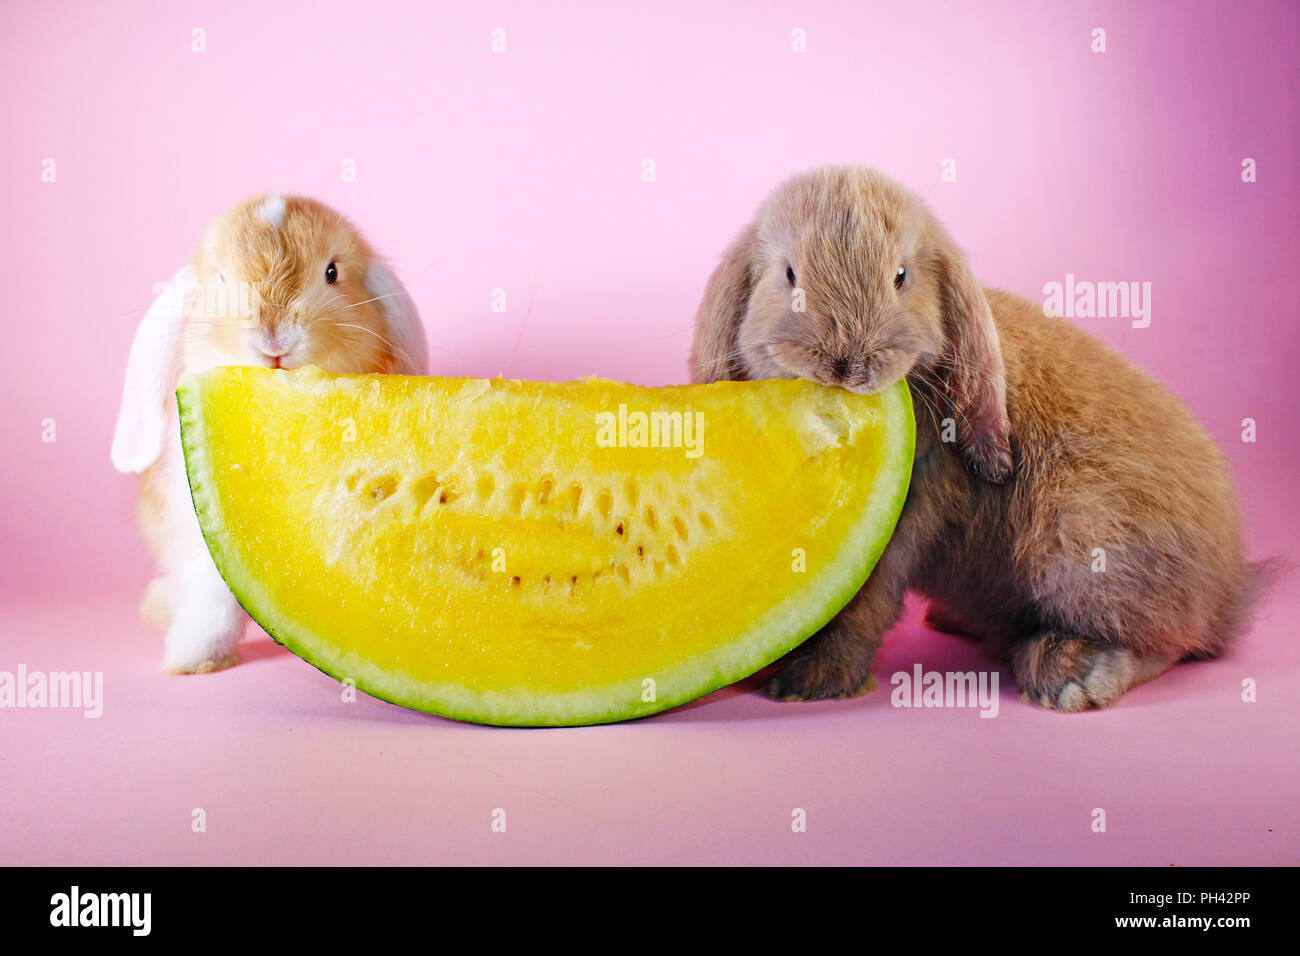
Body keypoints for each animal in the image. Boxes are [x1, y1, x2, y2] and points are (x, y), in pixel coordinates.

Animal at [690, 166, 1272, 711]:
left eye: (900, 276)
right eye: (789, 274)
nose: (848, 364)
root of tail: (1229, 590)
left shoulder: (911, 510)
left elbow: (867, 599)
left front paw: (814, 679)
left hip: (1085, 539)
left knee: (1170, 641)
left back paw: (1069, 673)